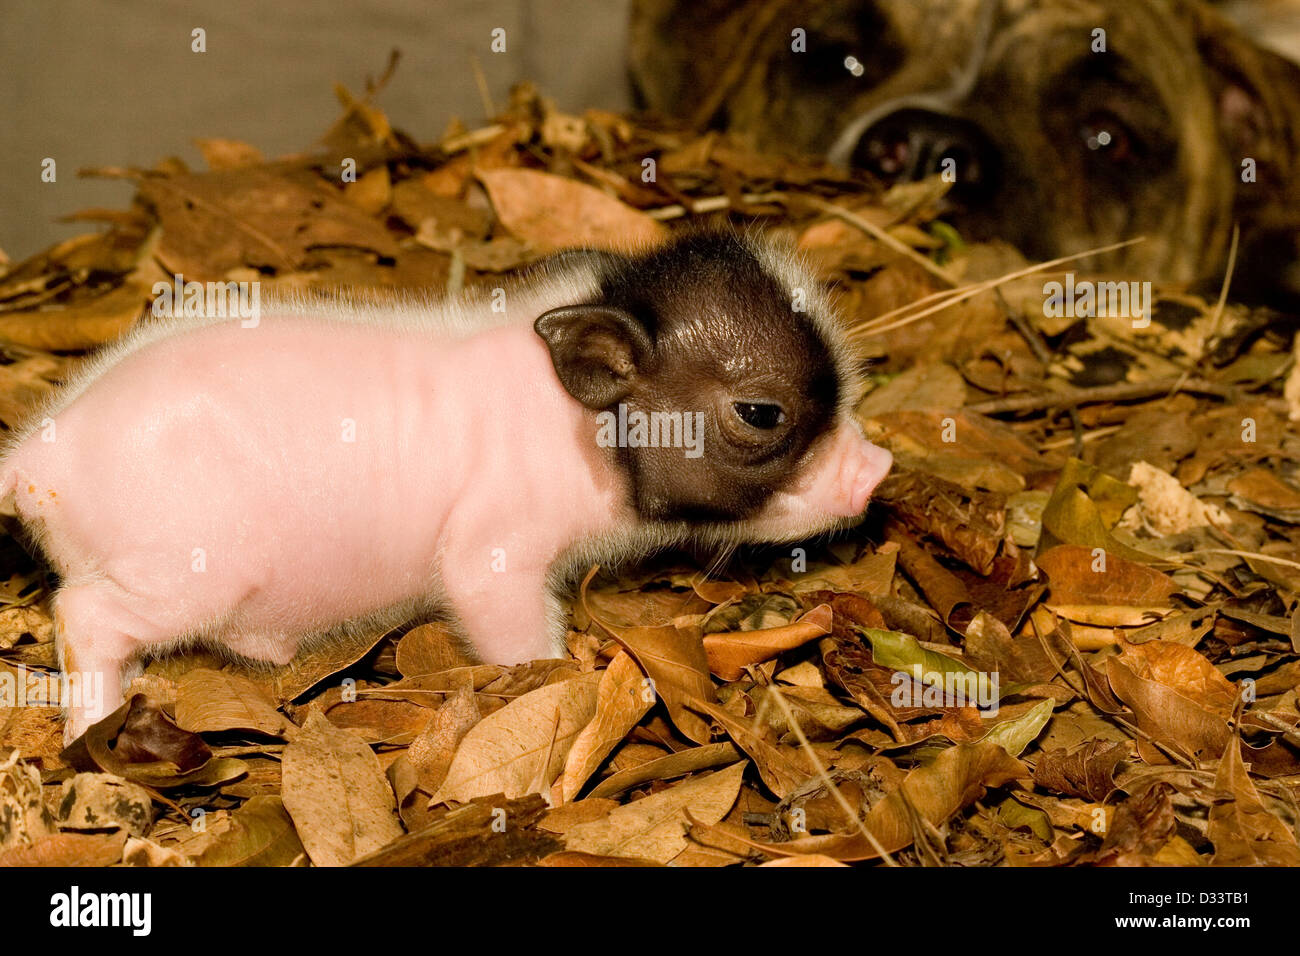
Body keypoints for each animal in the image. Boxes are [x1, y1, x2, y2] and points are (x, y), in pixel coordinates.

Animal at [0, 230, 893, 742]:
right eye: (761, 412)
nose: (881, 467)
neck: (576, 427)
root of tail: (35, 458)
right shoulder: (492, 546)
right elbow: (500, 613)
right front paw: (561, 669)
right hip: (187, 567)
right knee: (82, 611)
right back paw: (99, 728)